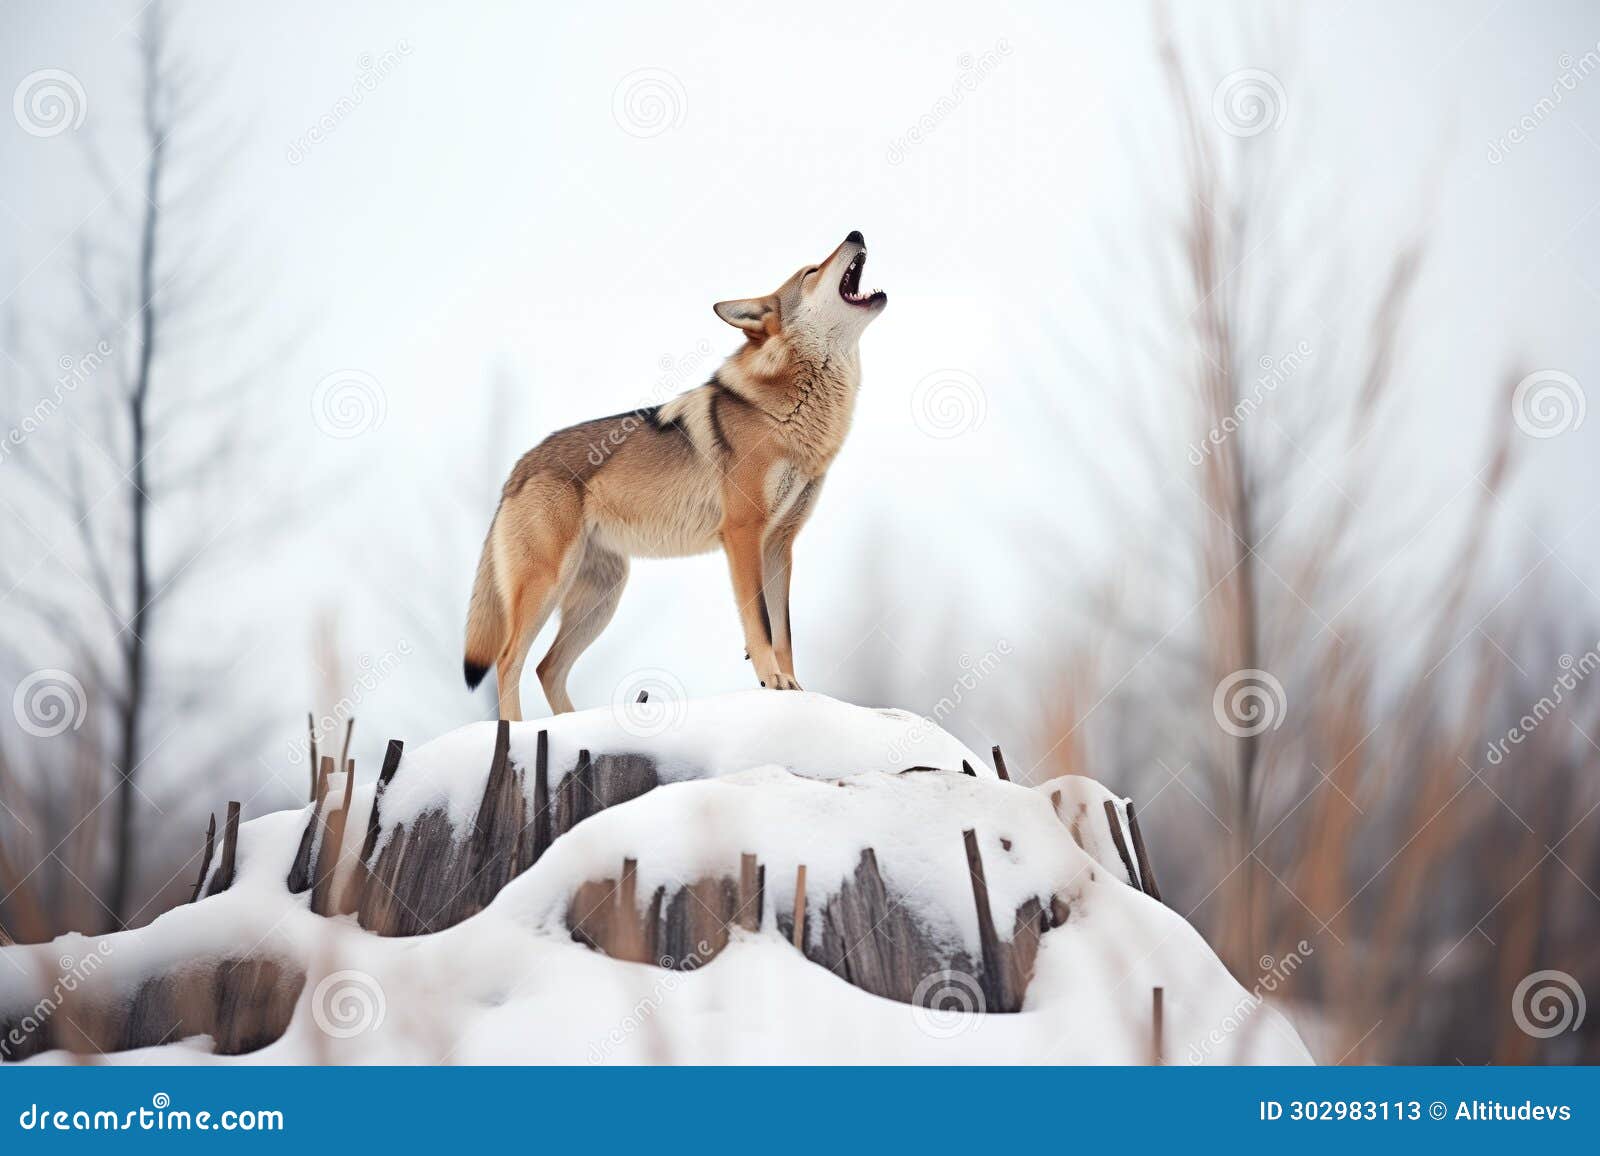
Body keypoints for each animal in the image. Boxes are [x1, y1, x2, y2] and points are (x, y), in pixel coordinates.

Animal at [463, 231, 887, 720]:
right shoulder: (743, 534)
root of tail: (518, 468)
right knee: (508, 659)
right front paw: (773, 680)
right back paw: (516, 729)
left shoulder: (780, 544)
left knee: (547, 667)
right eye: (810, 272)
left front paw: (794, 689)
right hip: (547, 586)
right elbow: (760, 624)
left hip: (602, 597)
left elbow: (784, 633)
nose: (856, 233)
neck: (794, 413)